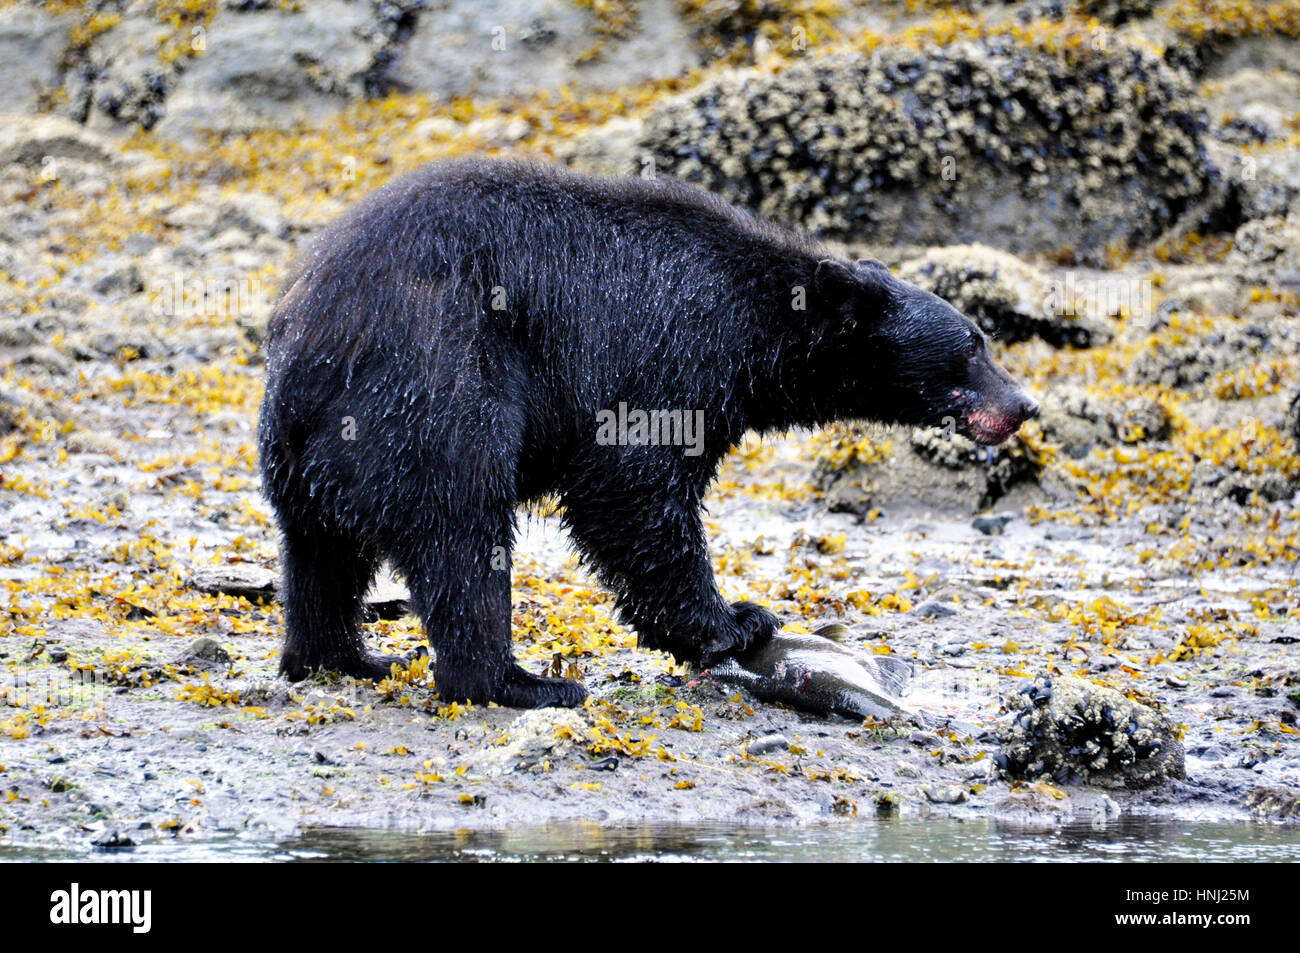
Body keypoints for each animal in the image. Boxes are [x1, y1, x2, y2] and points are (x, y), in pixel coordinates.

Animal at [257, 158, 1038, 708]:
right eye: (973, 346)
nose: (1026, 404)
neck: (762, 331)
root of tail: (315, 338)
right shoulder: (666, 351)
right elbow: (631, 488)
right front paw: (734, 620)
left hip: (310, 449)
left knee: (322, 554)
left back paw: (346, 657)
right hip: (434, 390)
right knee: (461, 537)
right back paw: (519, 682)